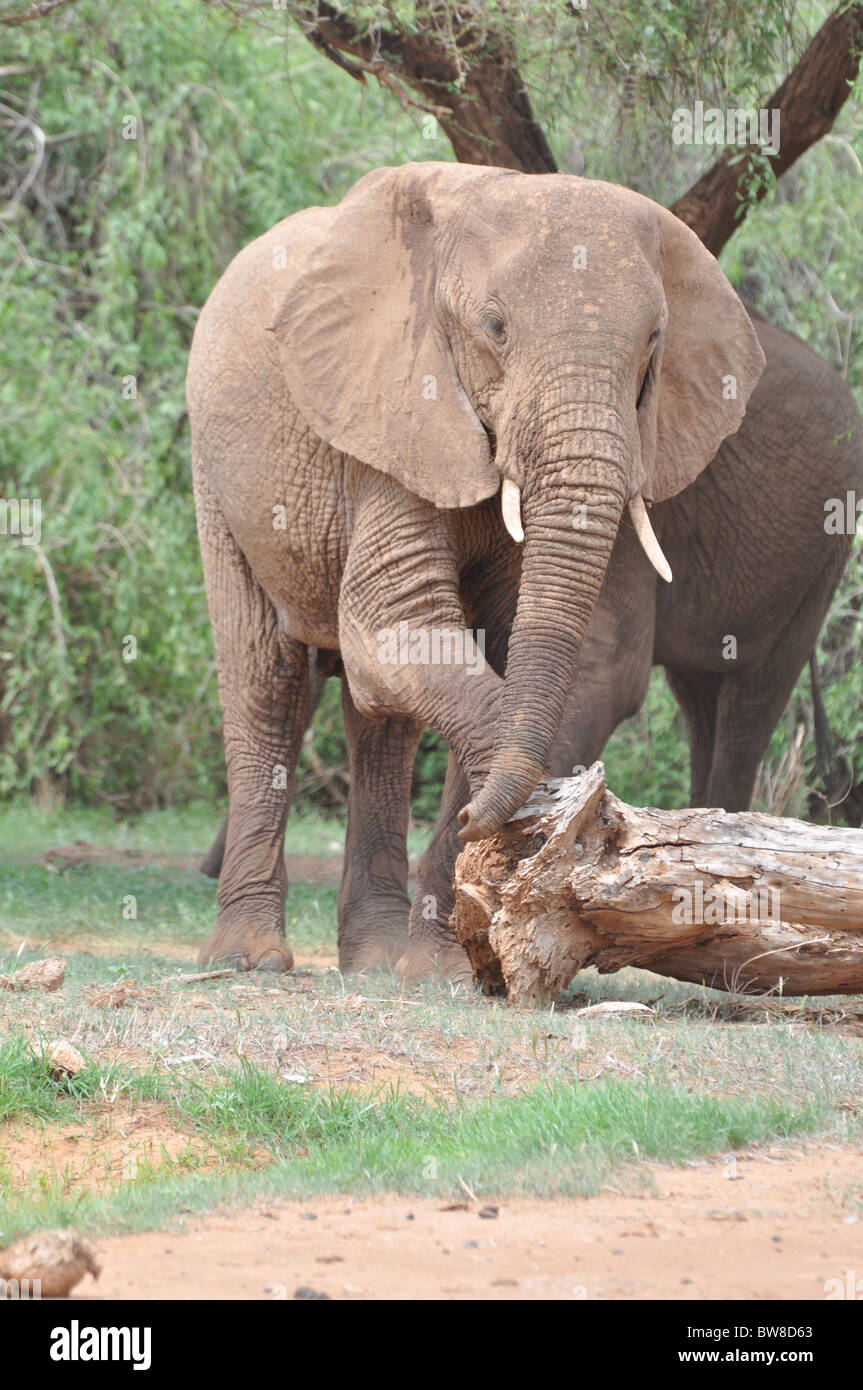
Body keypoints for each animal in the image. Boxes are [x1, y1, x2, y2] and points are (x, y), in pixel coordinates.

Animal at [187, 161, 764, 975]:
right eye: (494, 328)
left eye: (654, 340)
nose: (467, 821)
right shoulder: (393, 410)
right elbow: (398, 623)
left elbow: (487, 651)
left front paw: (443, 968)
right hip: (217, 475)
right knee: (267, 680)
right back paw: (250, 959)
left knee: (380, 722)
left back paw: (374, 961)